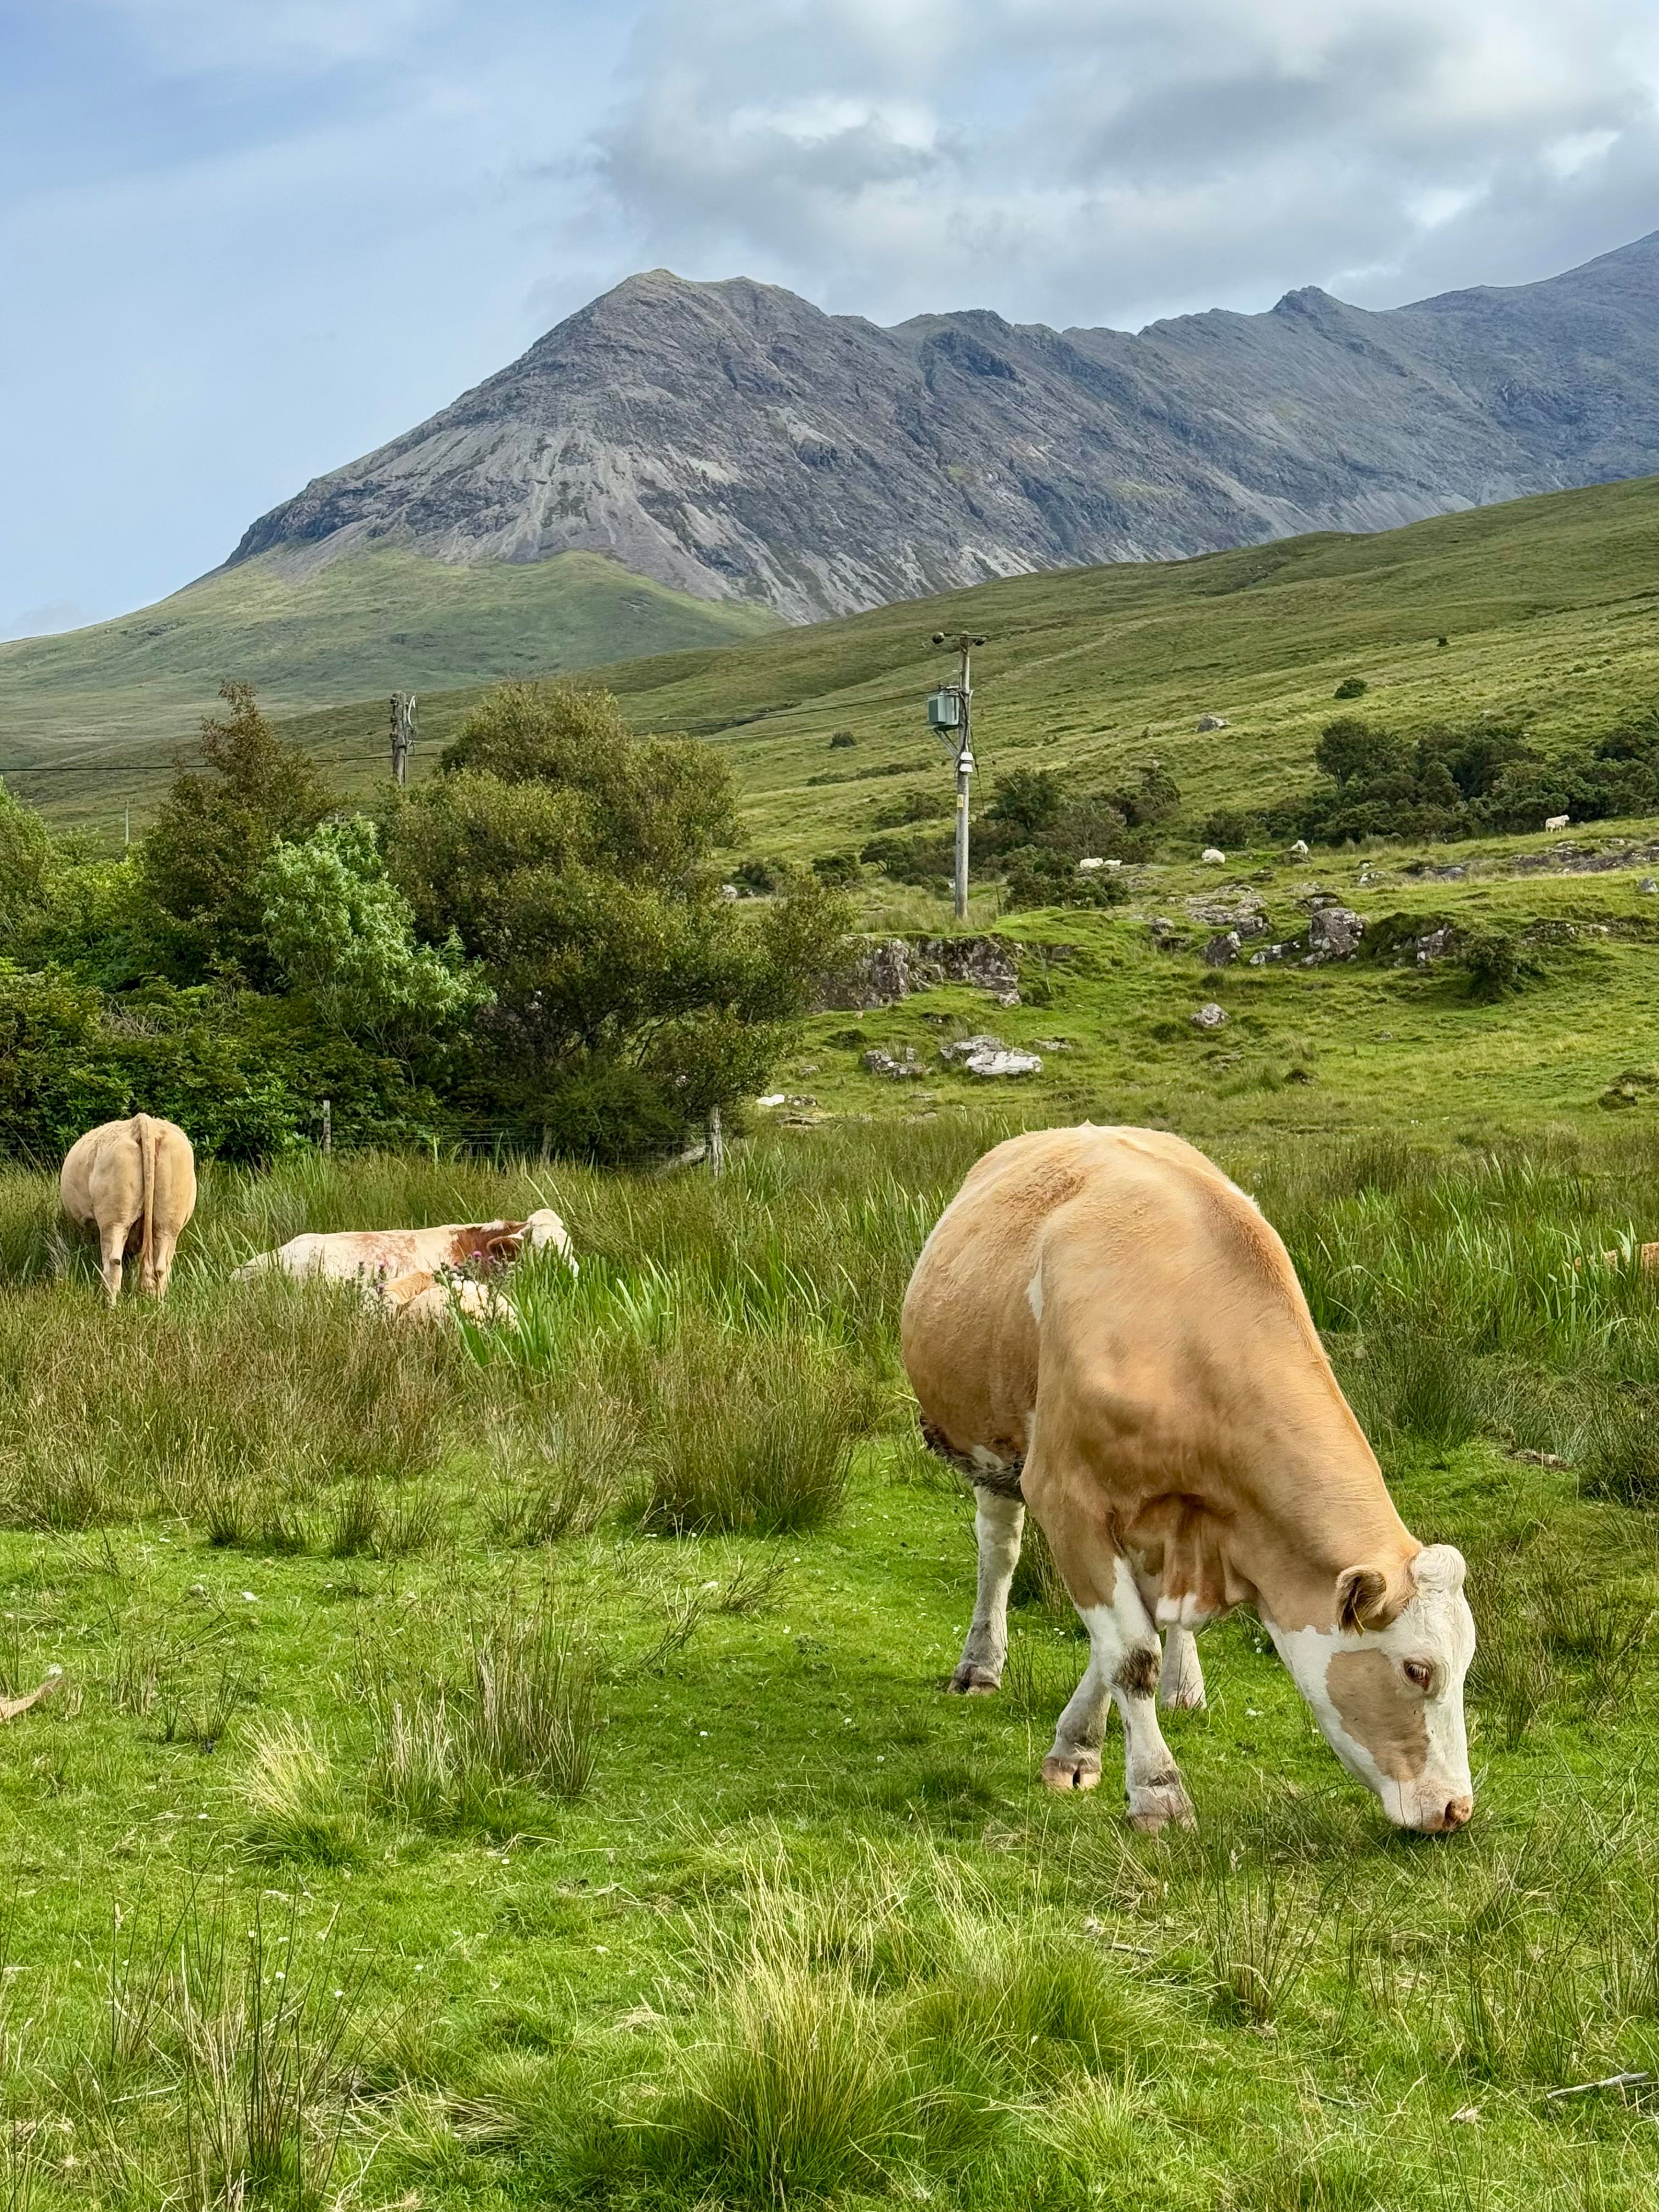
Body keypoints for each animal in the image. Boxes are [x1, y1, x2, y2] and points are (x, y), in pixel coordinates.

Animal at [60, 1115, 197, 1303]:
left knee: (114, 1262)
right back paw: (159, 1303)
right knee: (162, 1266)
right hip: (168, 1223)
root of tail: (142, 1121)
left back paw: (110, 1304)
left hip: (115, 1219)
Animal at [901, 1125, 1476, 1836]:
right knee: (999, 1553)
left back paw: (1182, 1685)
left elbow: (1122, 1645)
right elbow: (1126, 1653)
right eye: (1418, 1669)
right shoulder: (1068, 1500)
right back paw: (980, 1664)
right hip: (992, 1446)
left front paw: (1081, 1744)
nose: (1456, 1808)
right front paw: (1155, 1790)